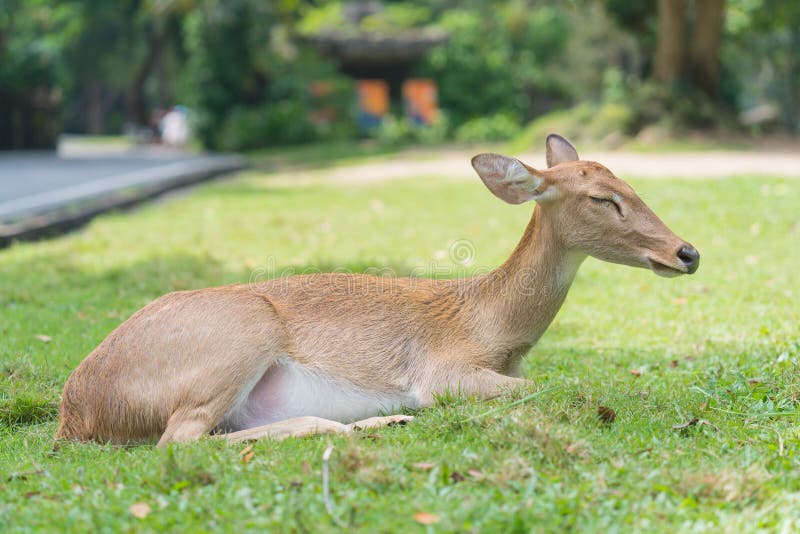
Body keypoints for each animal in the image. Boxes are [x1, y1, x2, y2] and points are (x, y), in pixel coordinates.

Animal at [55, 134, 699, 447]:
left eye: (630, 183)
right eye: (602, 198)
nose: (687, 252)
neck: (490, 326)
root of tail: (74, 414)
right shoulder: (442, 371)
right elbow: (553, 384)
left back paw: (384, 423)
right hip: (236, 338)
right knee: (178, 439)